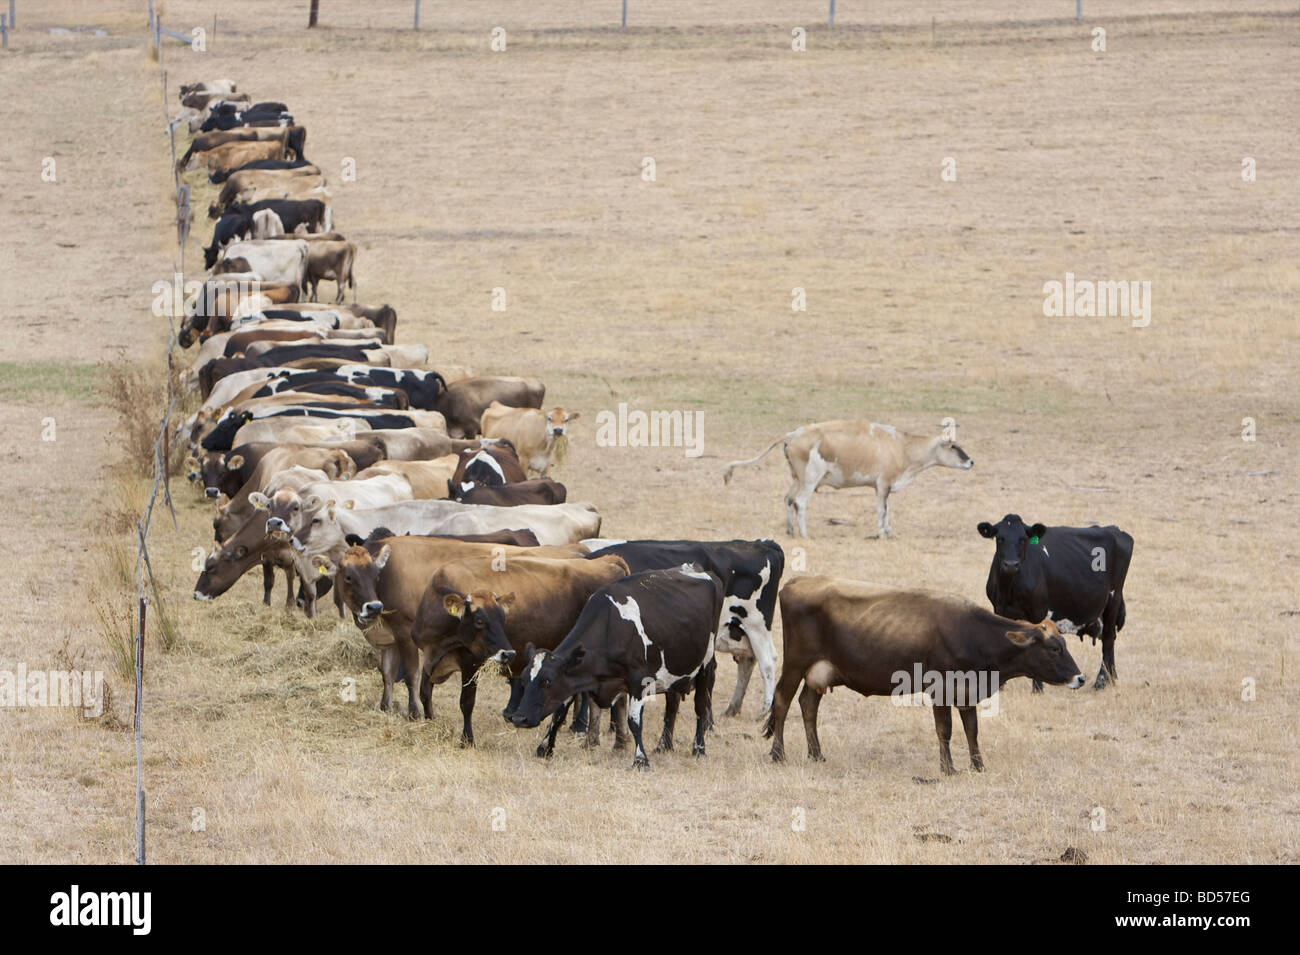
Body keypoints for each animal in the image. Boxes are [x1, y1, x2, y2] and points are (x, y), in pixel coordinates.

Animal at [509, 567, 725, 770]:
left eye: (547, 681)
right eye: (524, 680)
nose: (519, 718)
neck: (610, 627)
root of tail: (704, 571)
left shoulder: (639, 681)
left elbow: (634, 721)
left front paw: (640, 760)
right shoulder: (576, 680)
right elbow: (558, 714)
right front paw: (544, 747)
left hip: (705, 664)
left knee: (700, 707)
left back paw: (699, 748)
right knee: (672, 706)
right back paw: (663, 745)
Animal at [723, 420, 974, 538]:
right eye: (953, 446)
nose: (971, 462)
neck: (902, 446)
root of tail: (792, 434)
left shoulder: (883, 487)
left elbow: (888, 510)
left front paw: (889, 532)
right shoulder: (883, 483)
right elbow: (882, 510)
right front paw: (881, 534)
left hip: (797, 478)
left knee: (788, 499)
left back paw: (790, 530)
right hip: (810, 480)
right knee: (800, 502)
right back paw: (805, 534)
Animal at [764, 577, 1086, 773]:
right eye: (1055, 648)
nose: (1080, 678)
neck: (971, 633)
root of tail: (796, 582)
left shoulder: (966, 691)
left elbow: (972, 730)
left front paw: (978, 765)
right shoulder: (940, 690)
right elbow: (946, 730)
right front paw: (948, 768)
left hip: (819, 673)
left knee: (808, 705)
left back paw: (816, 753)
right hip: (795, 663)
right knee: (782, 701)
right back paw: (778, 754)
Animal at [977, 514, 1133, 690]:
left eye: (1023, 539)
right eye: (1000, 538)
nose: (1011, 564)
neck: (1009, 589)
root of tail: (1115, 529)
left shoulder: (1038, 612)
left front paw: (1037, 689)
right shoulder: (999, 609)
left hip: (1113, 597)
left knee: (1108, 639)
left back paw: (1100, 682)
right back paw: (1111, 679)